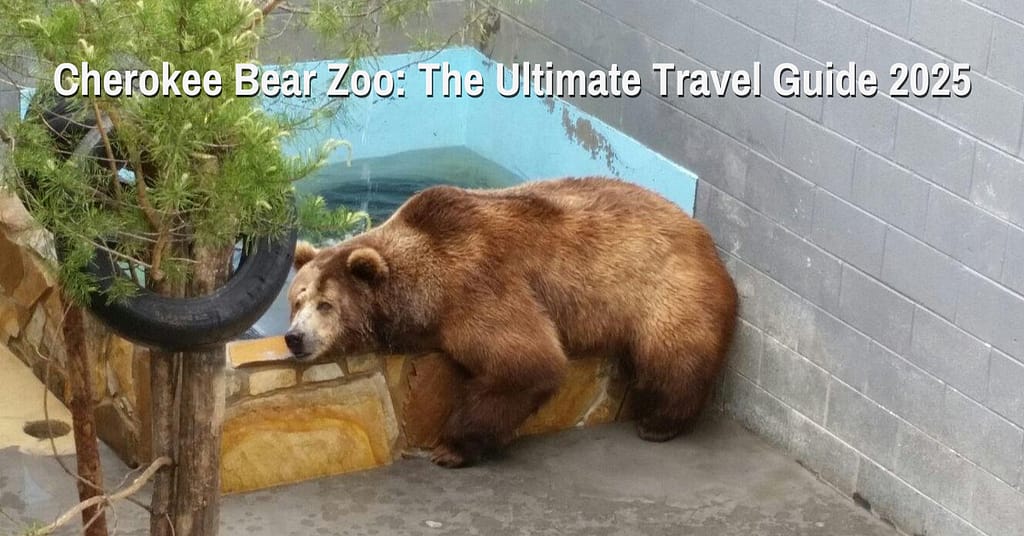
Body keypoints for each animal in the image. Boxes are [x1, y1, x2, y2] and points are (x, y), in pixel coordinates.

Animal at [285, 177, 738, 468]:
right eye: (297, 300)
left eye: (326, 304)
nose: (294, 337)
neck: (422, 294)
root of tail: (704, 238)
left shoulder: (476, 287)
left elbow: (526, 362)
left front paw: (450, 447)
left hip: (665, 288)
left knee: (673, 355)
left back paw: (659, 421)